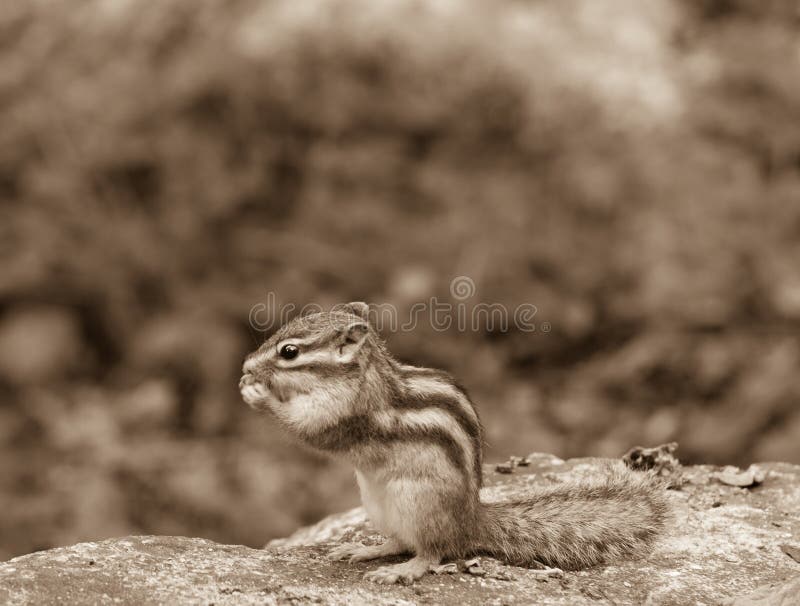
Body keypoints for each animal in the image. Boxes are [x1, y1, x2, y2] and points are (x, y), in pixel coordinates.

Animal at [240, 302, 670, 585]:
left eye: (289, 351)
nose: (245, 365)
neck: (364, 375)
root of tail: (470, 519)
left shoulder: (347, 413)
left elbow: (311, 430)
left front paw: (257, 394)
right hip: (377, 504)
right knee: (399, 540)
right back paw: (367, 549)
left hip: (417, 502)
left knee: (432, 551)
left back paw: (404, 570)